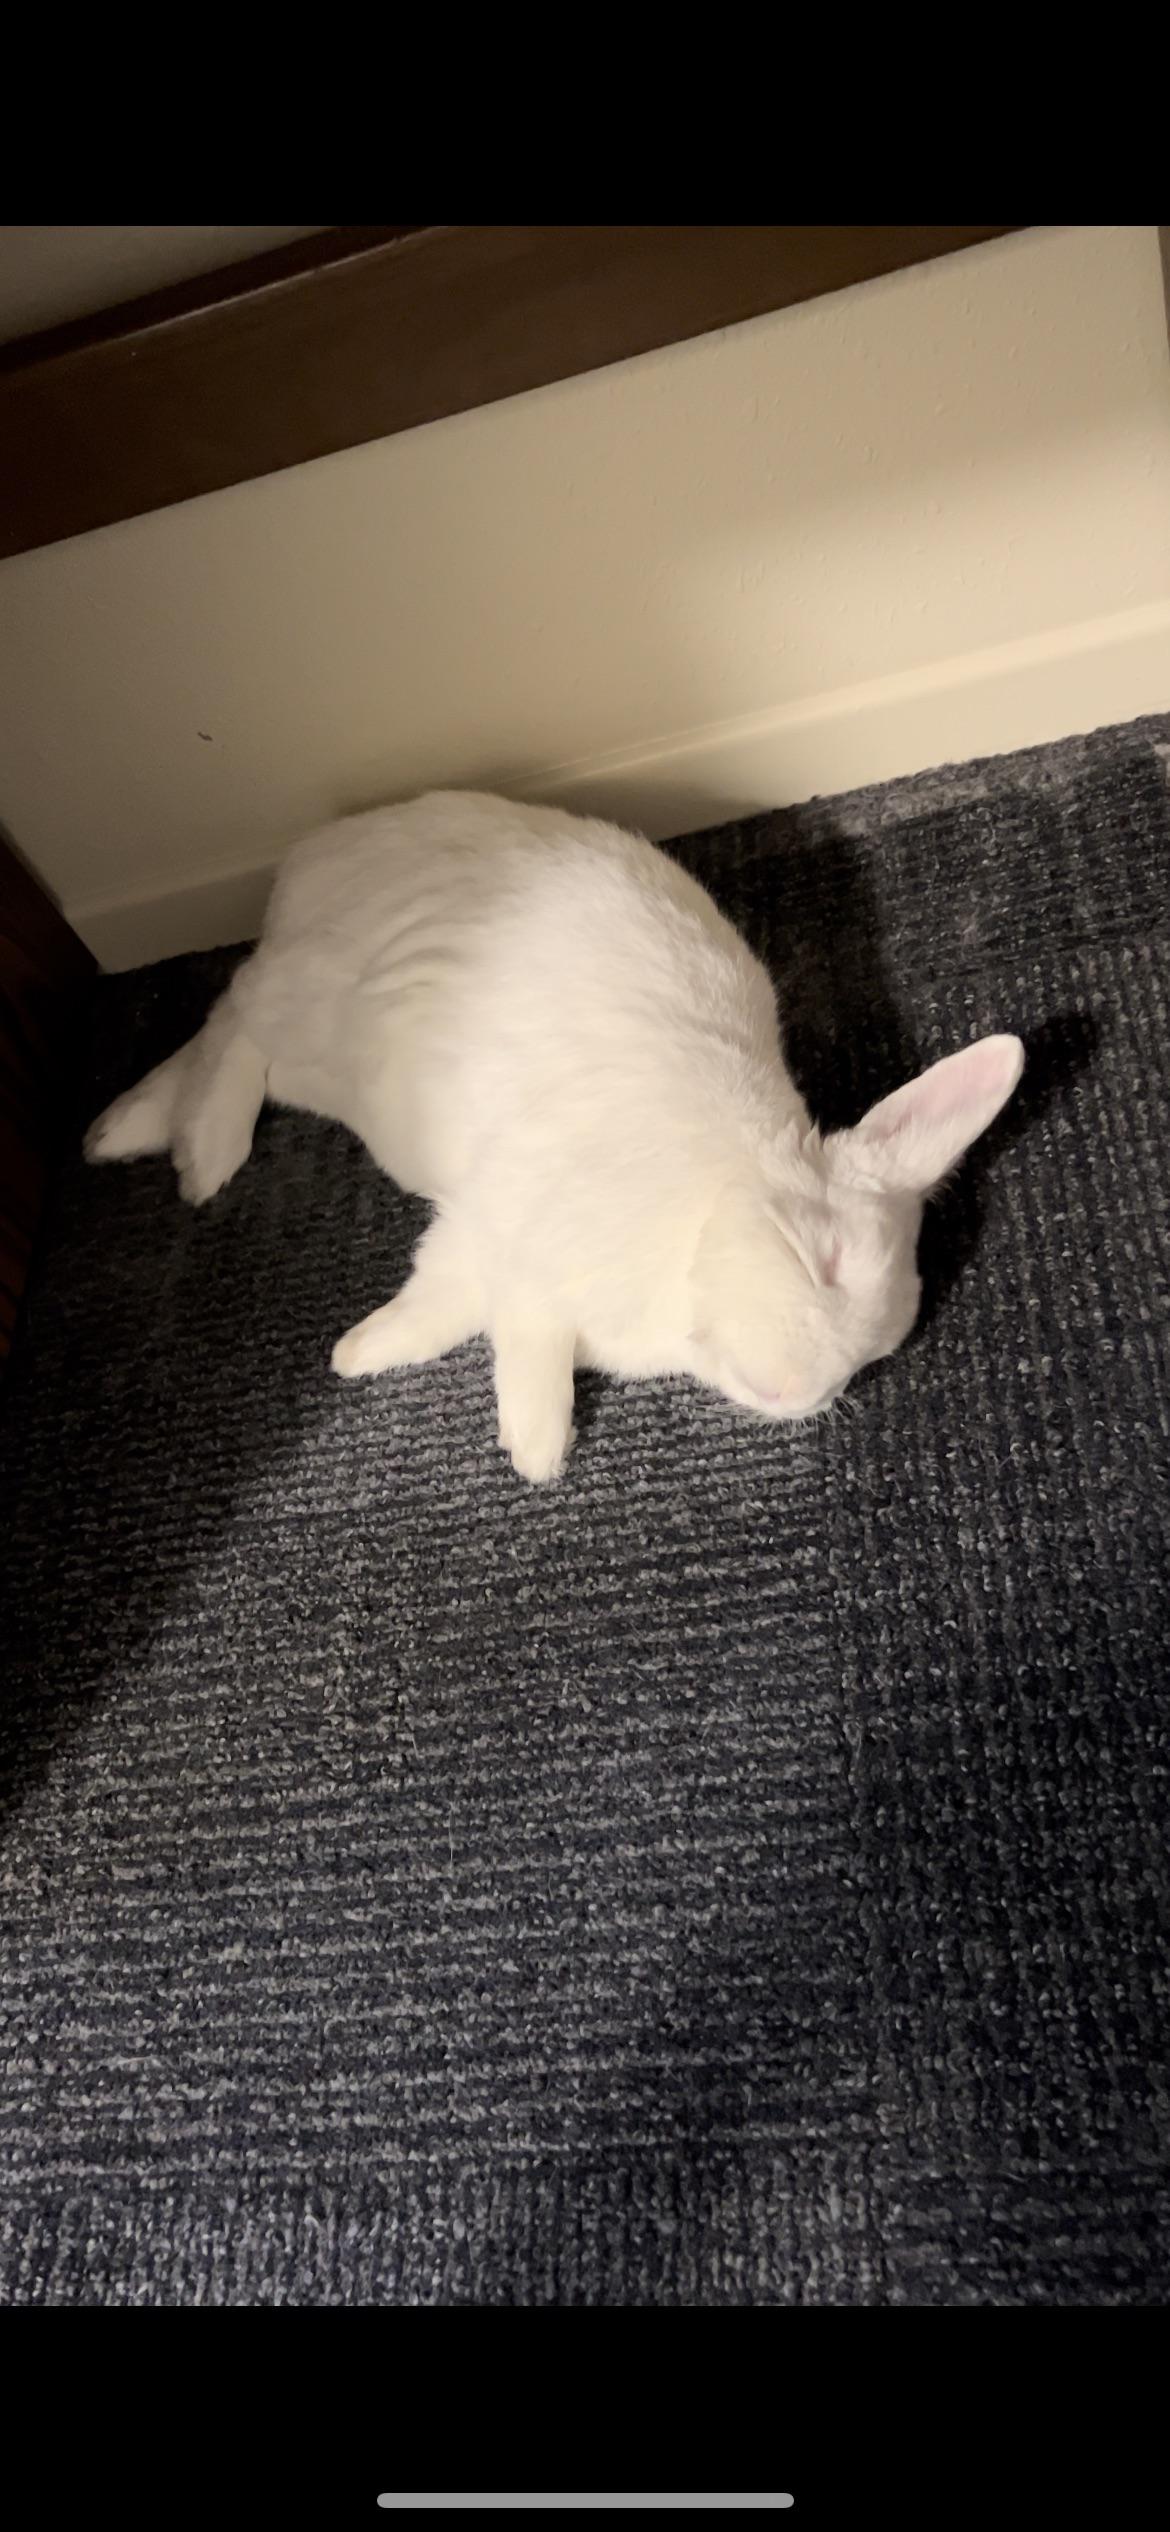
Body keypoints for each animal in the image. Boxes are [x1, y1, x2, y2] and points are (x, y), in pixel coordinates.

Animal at [86, 791, 1024, 1482]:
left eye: (872, 1360)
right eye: (817, 1259)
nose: (791, 1389)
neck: (709, 1216)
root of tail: (320, 854)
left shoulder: (516, 1270)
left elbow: (487, 1318)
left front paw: (513, 1433)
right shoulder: (499, 1223)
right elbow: (459, 1316)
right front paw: (418, 1386)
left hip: (338, 1064)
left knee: (243, 1042)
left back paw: (125, 1135)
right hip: (325, 1001)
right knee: (234, 1014)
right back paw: (196, 1153)